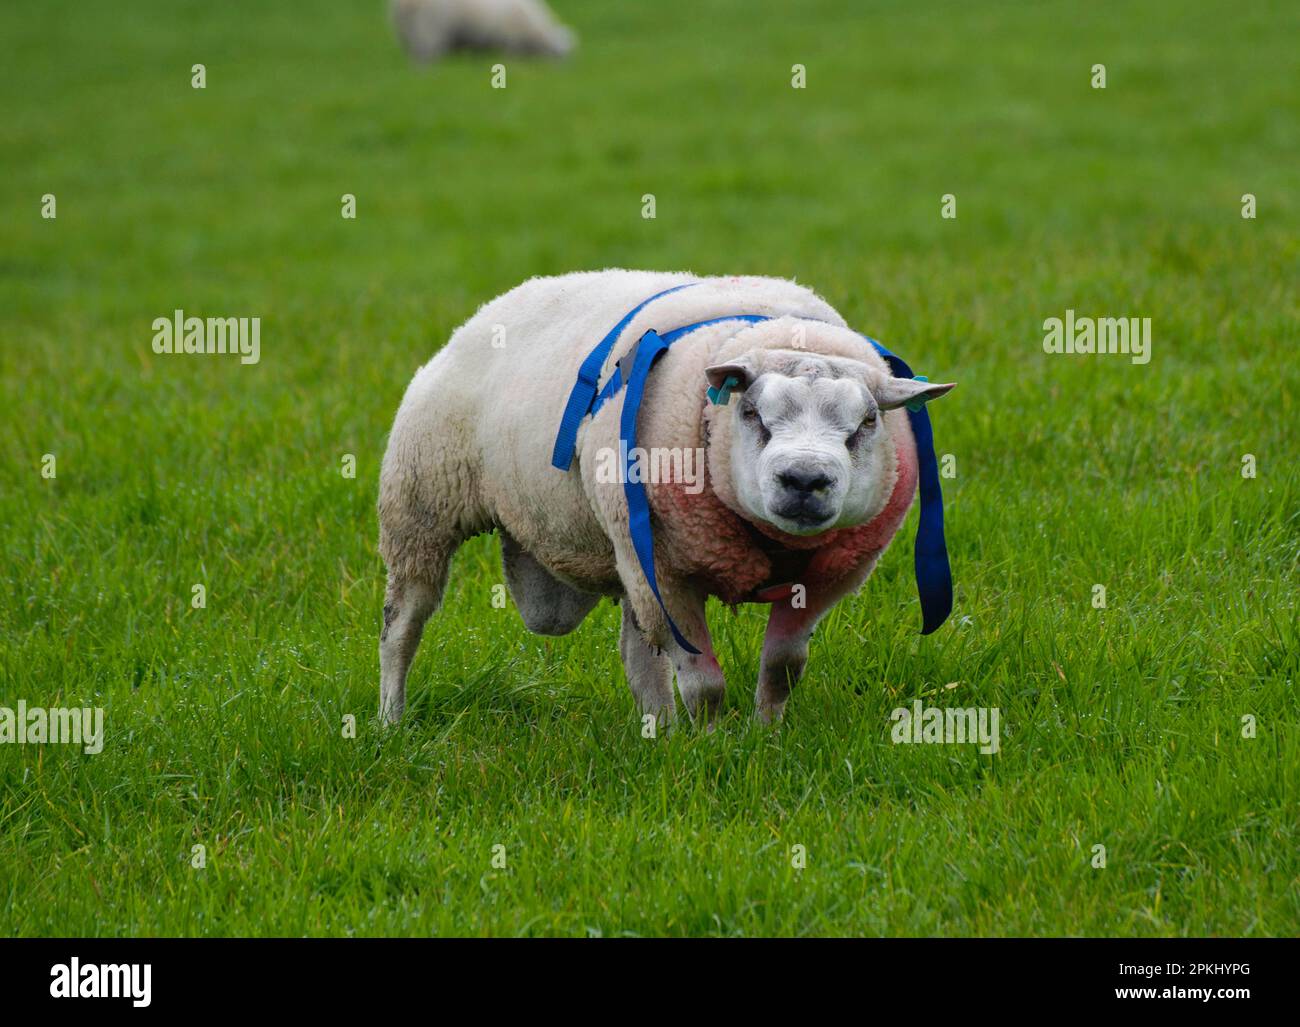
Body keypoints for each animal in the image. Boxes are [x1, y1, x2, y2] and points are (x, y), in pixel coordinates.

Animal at [377, 270, 954, 726]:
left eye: (868, 422)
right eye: (751, 414)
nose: (804, 479)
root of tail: (494, 307)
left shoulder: (825, 580)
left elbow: (783, 668)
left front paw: (767, 734)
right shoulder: (668, 574)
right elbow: (704, 684)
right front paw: (711, 744)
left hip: (619, 549)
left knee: (637, 655)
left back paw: (658, 731)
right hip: (421, 510)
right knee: (401, 628)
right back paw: (391, 723)